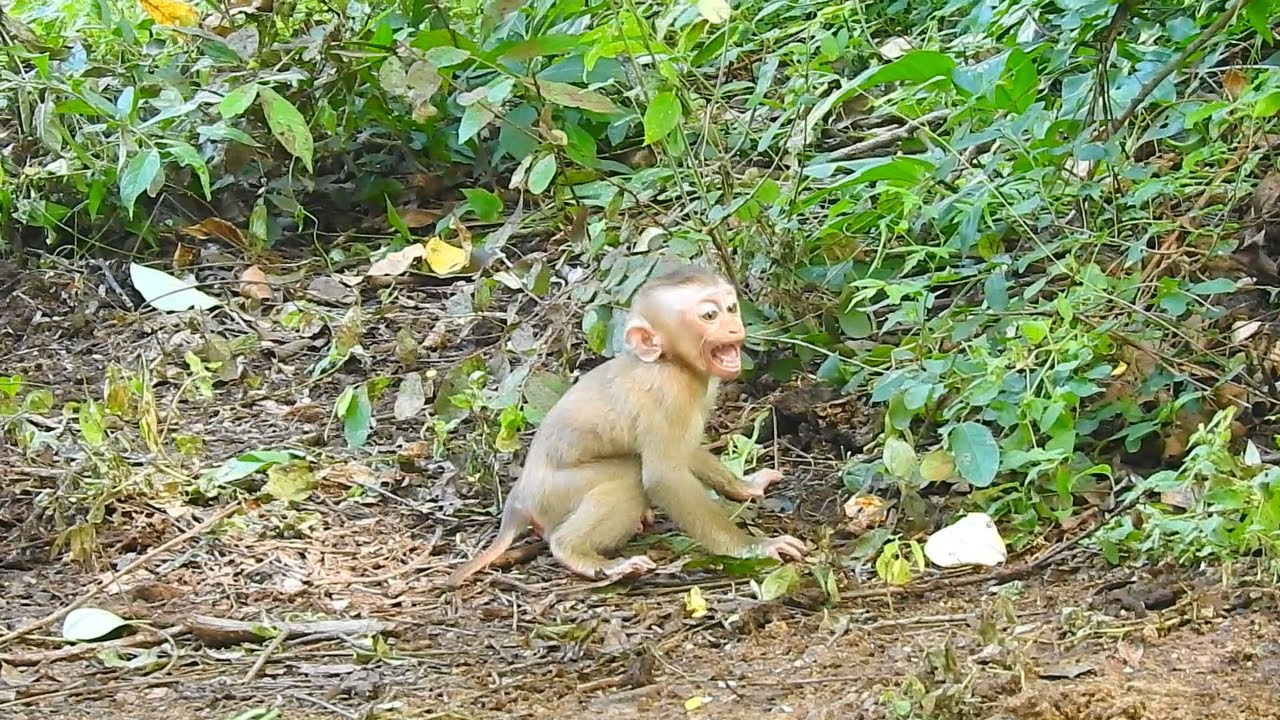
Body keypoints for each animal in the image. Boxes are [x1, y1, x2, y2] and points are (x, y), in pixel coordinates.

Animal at [445, 264, 808, 587]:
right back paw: (578, 553)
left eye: (731, 309)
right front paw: (755, 548)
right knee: (627, 479)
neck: (672, 362)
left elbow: (687, 451)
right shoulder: (669, 395)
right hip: (553, 496)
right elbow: (664, 477)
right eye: (709, 315)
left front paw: (746, 486)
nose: (734, 327)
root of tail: (518, 498)